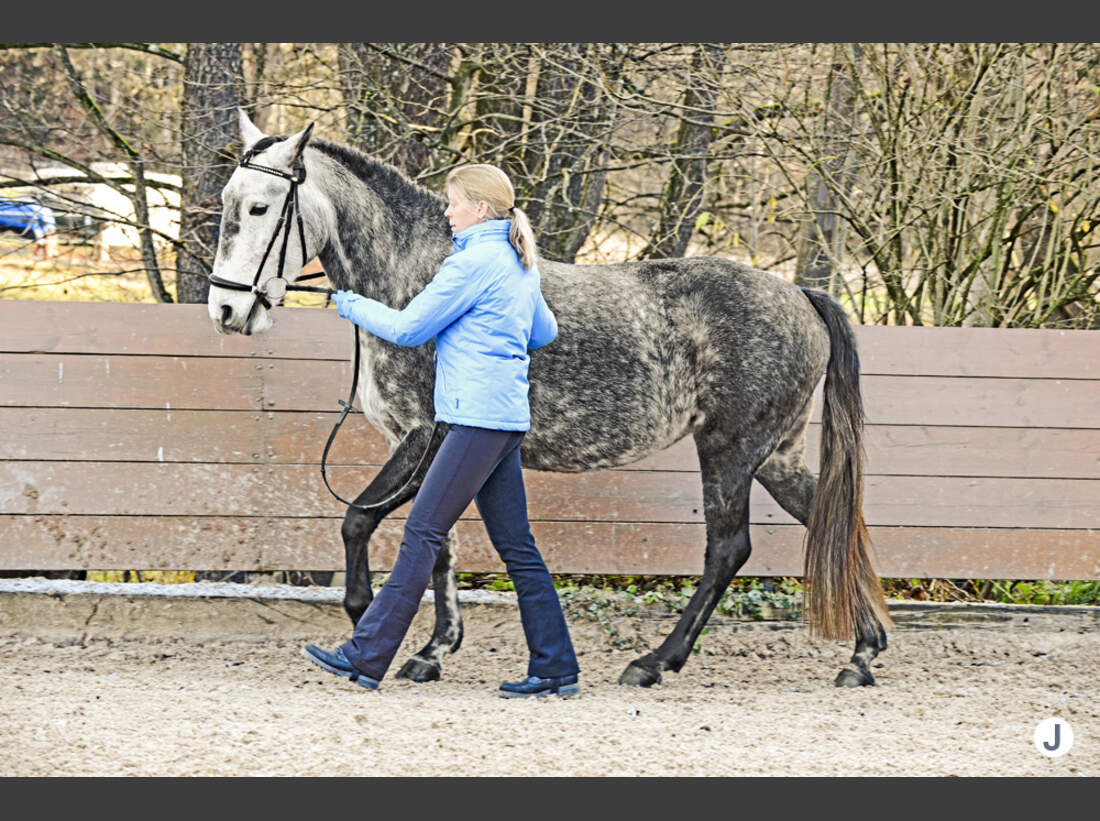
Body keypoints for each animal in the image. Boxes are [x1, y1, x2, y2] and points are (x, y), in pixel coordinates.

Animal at [208, 109, 892, 689]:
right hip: (774, 455)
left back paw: (654, 662)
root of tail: (799, 296)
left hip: (729, 448)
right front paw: (433, 651)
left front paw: (365, 620)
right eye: (226, 204)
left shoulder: (424, 435)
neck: (416, 280)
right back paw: (862, 654)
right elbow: (439, 543)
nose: (226, 310)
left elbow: (359, 521)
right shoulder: (440, 446)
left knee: (729, 550)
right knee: (834, 520)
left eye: (261, 207)